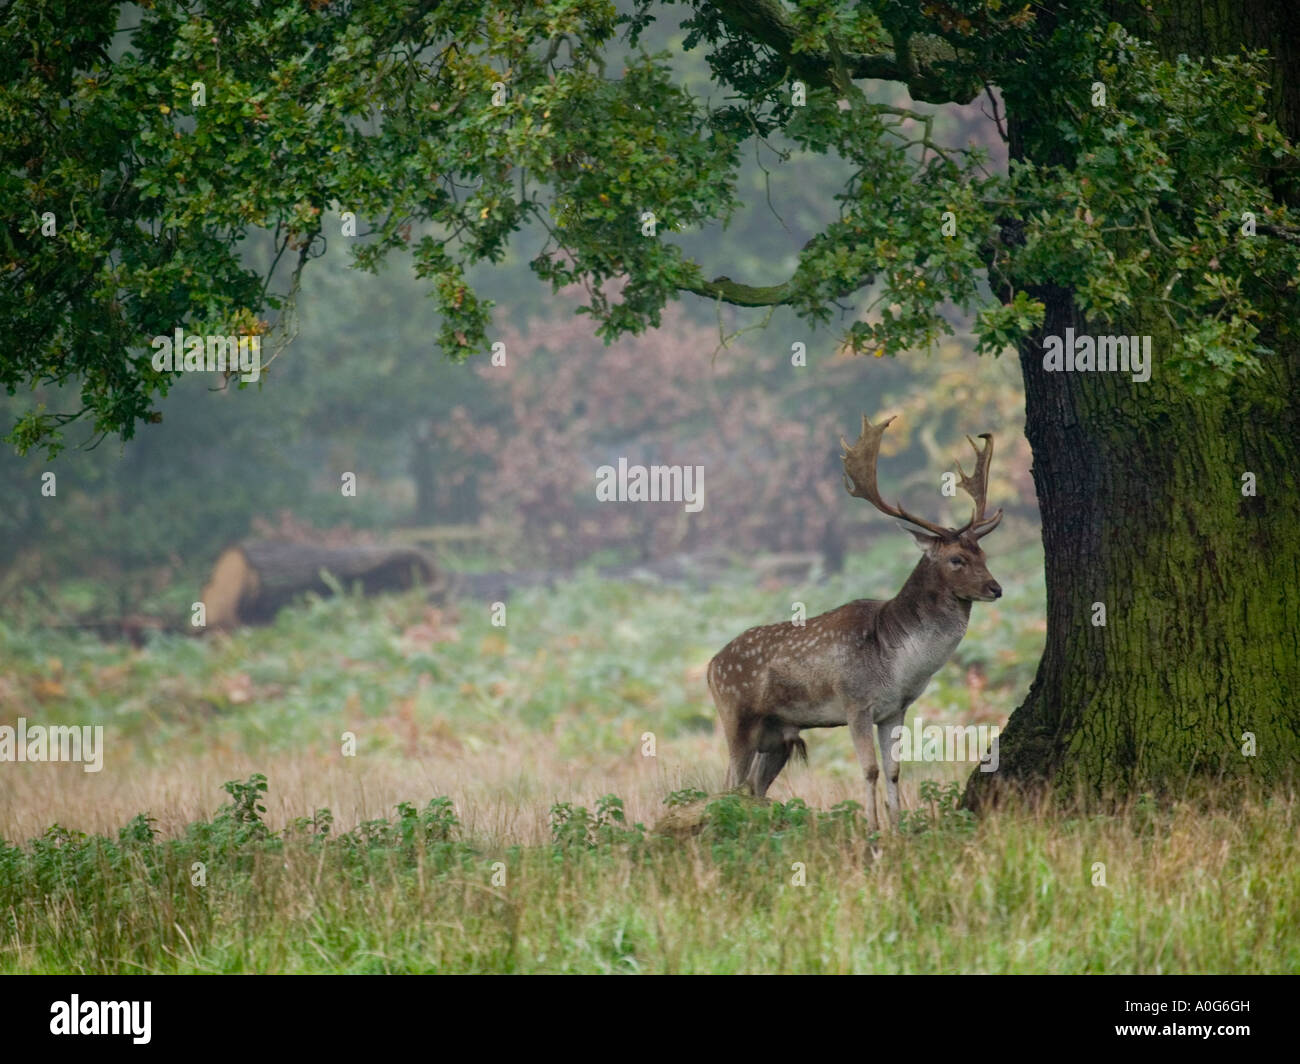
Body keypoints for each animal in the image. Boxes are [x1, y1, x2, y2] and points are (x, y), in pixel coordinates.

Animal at [707, 414, 1003, 833]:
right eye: (956, 559)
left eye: (983, 553)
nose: (996, 588)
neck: (898, 663)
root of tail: (710, 665)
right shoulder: (854, 702)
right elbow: (869, 770)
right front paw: (873, 829)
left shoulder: (895, 709)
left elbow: (894, 770)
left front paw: (897, 826)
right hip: (736, 715)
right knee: (729, 783)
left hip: (777, 735)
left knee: (752, 787)